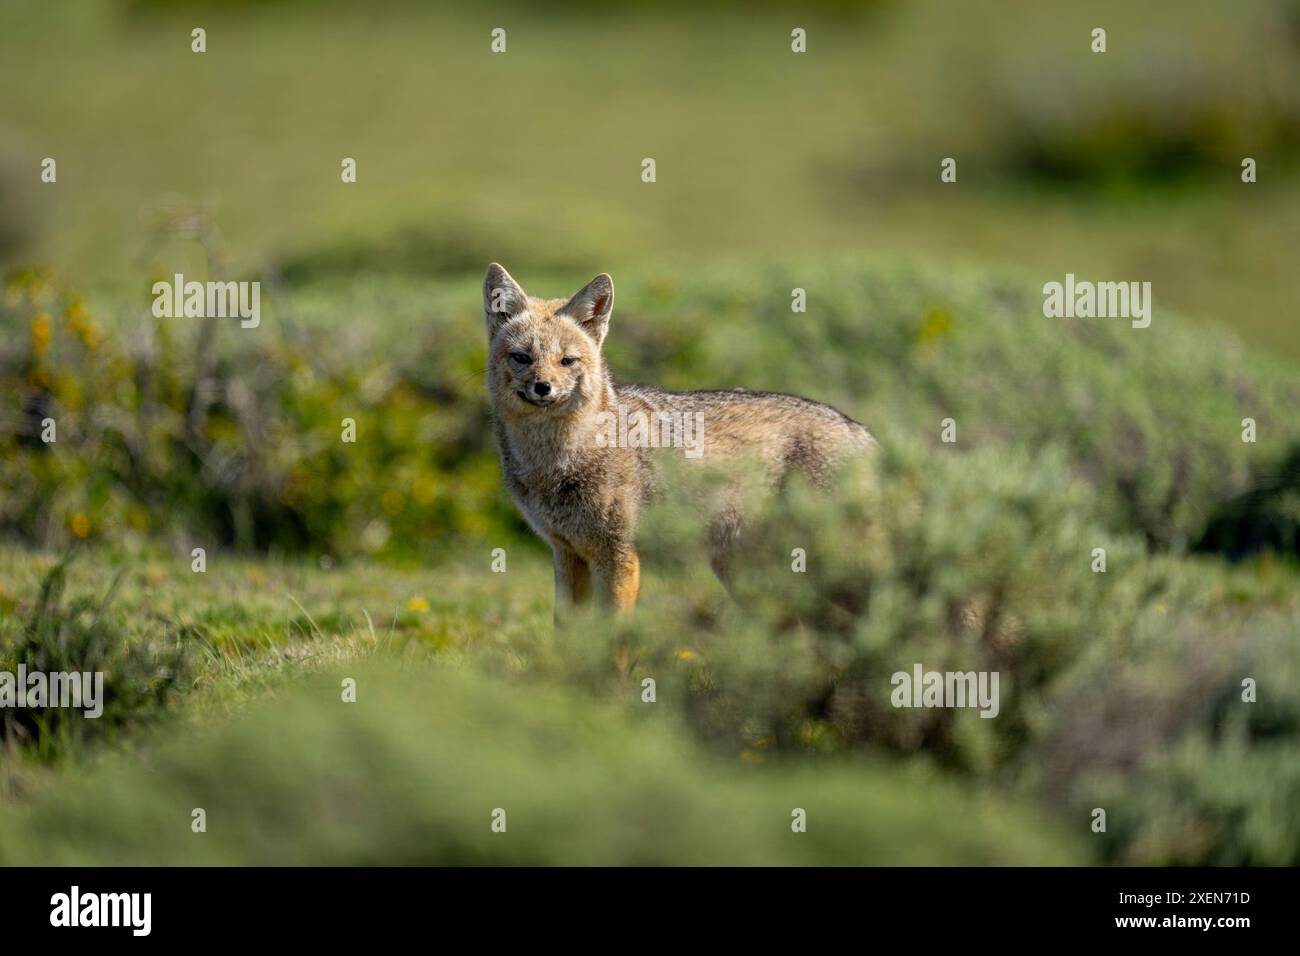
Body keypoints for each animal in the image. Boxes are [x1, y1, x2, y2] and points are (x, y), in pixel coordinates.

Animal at [483, 262, 876, 616]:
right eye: (522, 358)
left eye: (567, 361)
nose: (543, 387)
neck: (554, 462)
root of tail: (858, 428)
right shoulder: (567, 554)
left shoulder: (618, 556)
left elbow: (612, 638)